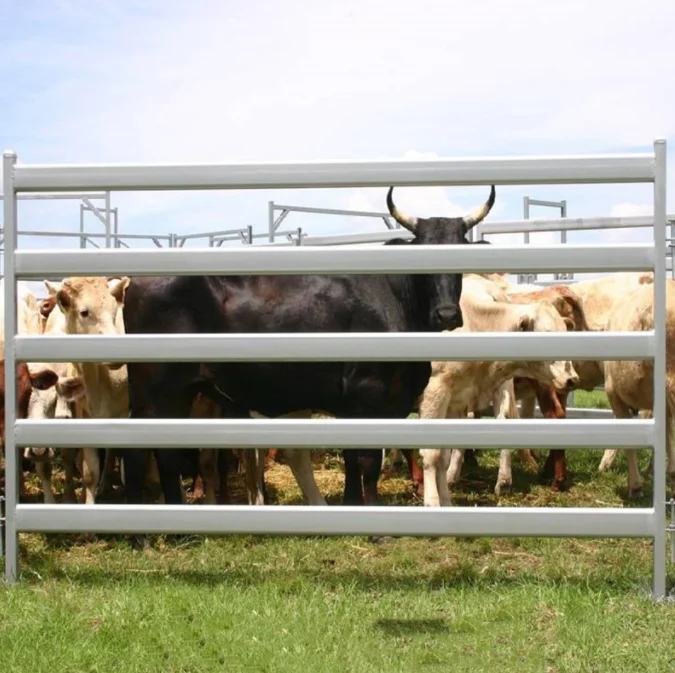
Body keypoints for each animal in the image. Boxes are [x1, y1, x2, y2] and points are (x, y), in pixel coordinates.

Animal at [121, 186, 497, 507]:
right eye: (422, 254)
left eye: (461, 253)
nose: (446, 314)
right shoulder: (368, 394)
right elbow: (368, 461)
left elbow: (352, 460)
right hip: (155, 391)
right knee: (139, 453)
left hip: (179, 393)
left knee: (166, 454)